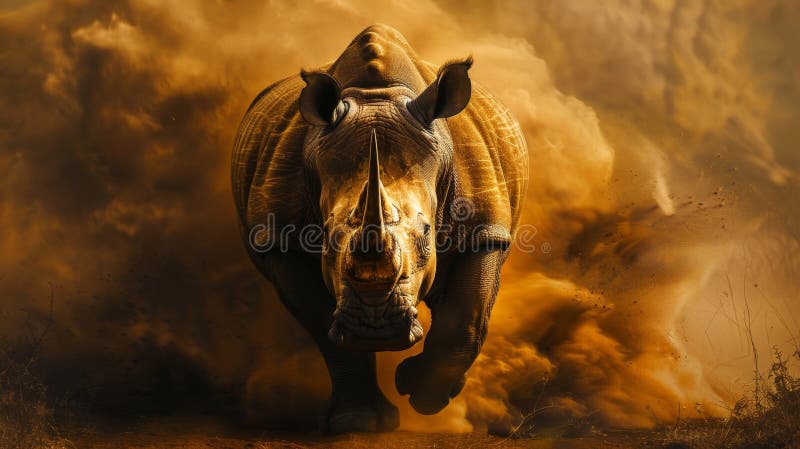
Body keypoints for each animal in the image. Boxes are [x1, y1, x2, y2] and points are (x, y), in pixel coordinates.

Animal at [231, 24, 527, 433]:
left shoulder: (484, 231)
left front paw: (423, 396)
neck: (378, 95)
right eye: (326, 235)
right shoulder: (281, 240)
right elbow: (326, 331)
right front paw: (358, 422)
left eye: (425, 233)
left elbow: (466, 318)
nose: (376, 329)